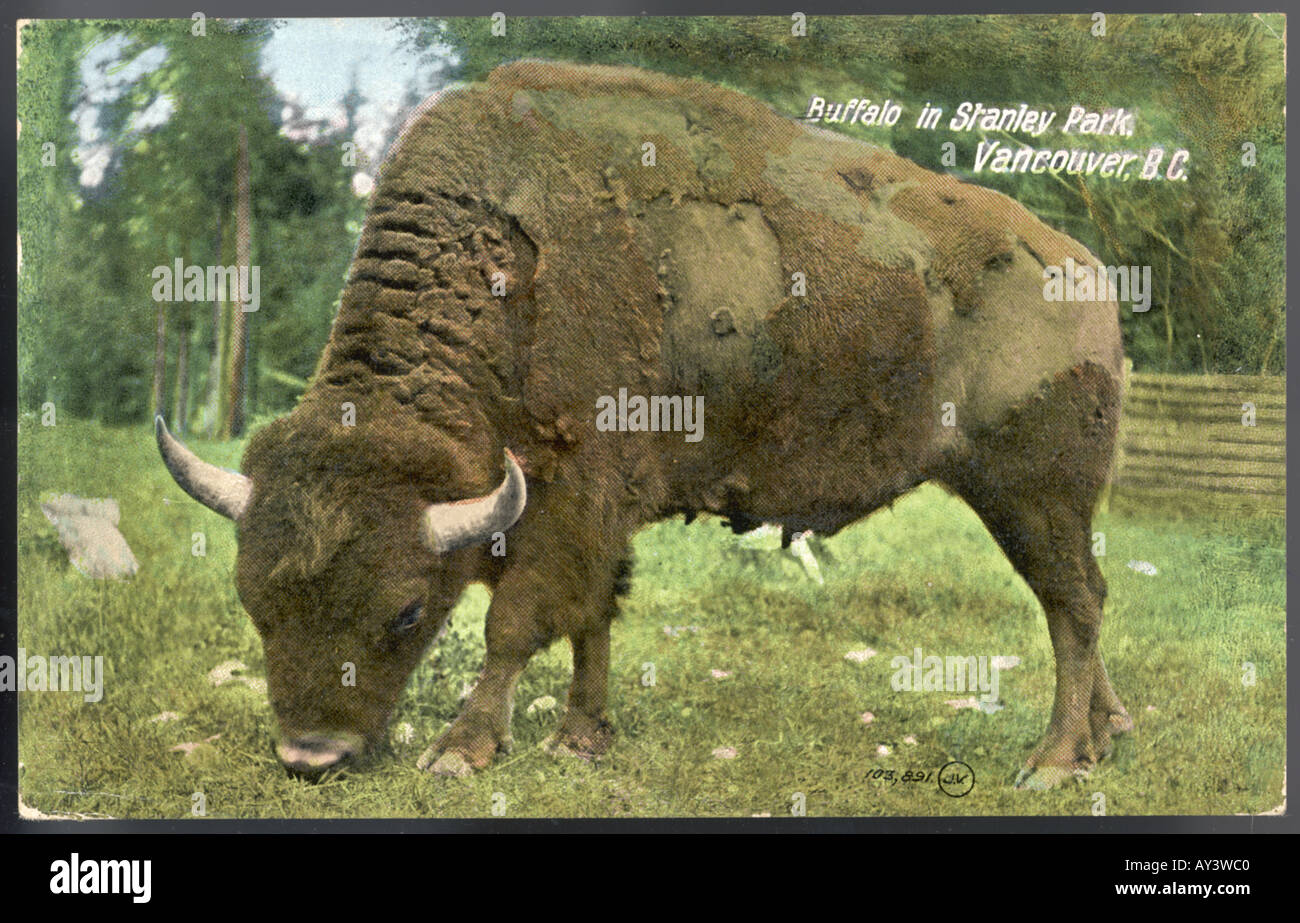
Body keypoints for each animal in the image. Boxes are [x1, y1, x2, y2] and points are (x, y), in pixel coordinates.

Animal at [158, 61, 1131, 789]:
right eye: (253, 599)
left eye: (404, 611)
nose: (310, 755)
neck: (510, 277)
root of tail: (1085, 271)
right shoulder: (587, 511)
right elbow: (594, 615)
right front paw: (582, 736)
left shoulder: (575, 494)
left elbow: (517, 623)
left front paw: (461, 750)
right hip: (1040, 504)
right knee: (1078, 601)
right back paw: (1106, 735)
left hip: (1033, 493)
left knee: (1074, 604)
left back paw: (1051, 761)